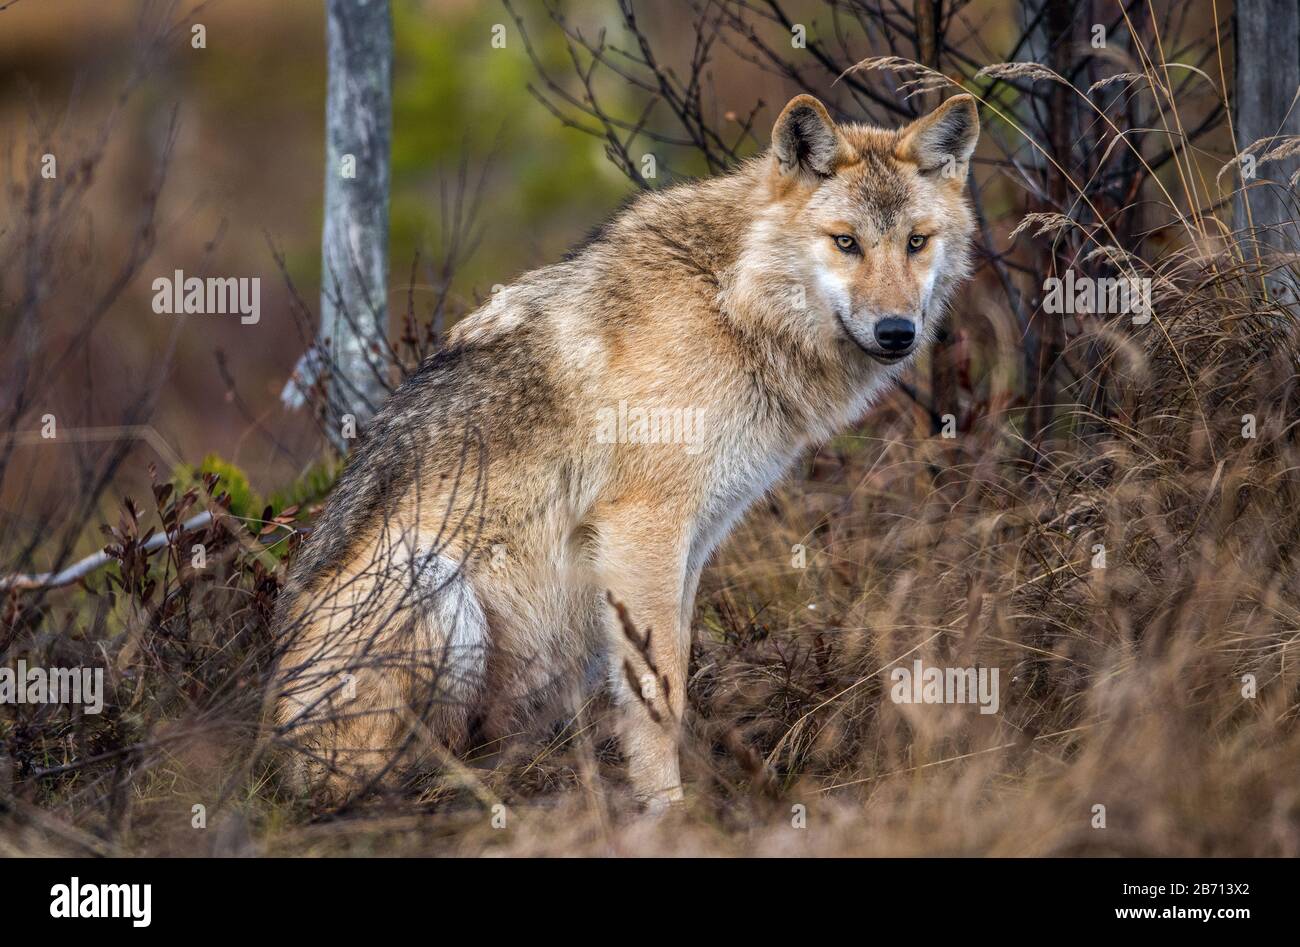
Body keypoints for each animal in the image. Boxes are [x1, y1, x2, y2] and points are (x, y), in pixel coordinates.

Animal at [272, 92, 980, 807]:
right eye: (846, 242)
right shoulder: (643, 529)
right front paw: (668, 810)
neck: (730, 302)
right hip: (434, 582)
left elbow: (674, 672)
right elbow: (657, 694)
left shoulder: (693, 540)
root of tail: (273, 754)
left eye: (916, 242)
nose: (897, 332)